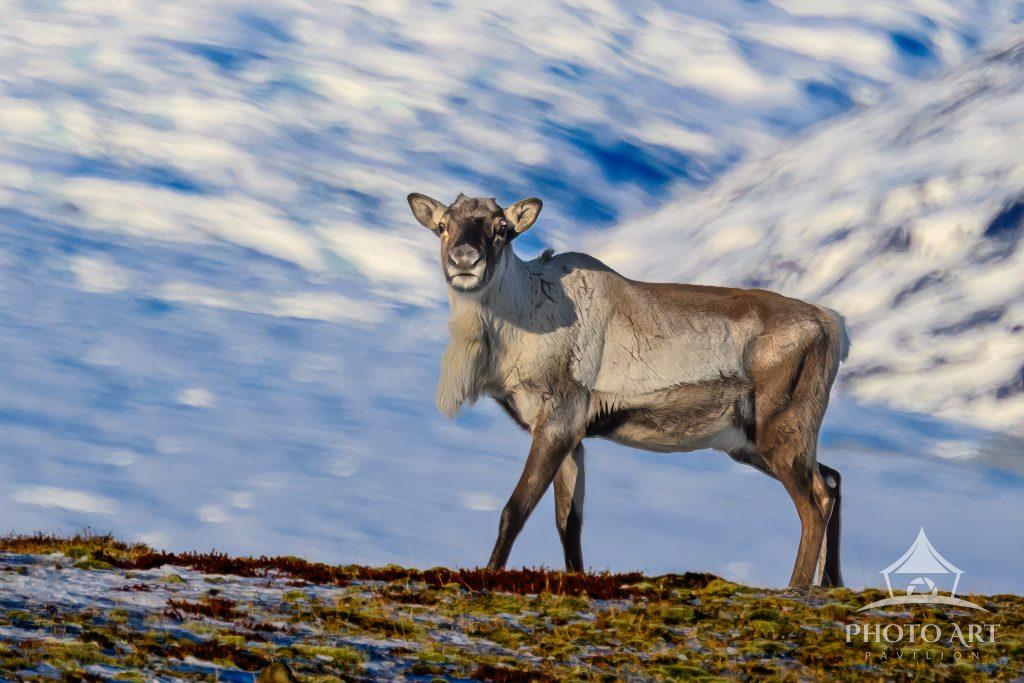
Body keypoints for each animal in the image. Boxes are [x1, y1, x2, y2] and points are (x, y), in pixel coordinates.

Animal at [407, 192, 849, 587]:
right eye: (443, 225)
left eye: (502, 229)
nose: (465, 260)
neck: (519, 322)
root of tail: (832, 325)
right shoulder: (574, 438)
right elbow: (568, 523)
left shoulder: (558, 423)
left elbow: (514, 511)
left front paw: (488, 574)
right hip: (749, 443)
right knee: (832, 481)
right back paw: (831, 583)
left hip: (781, 432)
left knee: (814, 502)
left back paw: (797, 586)